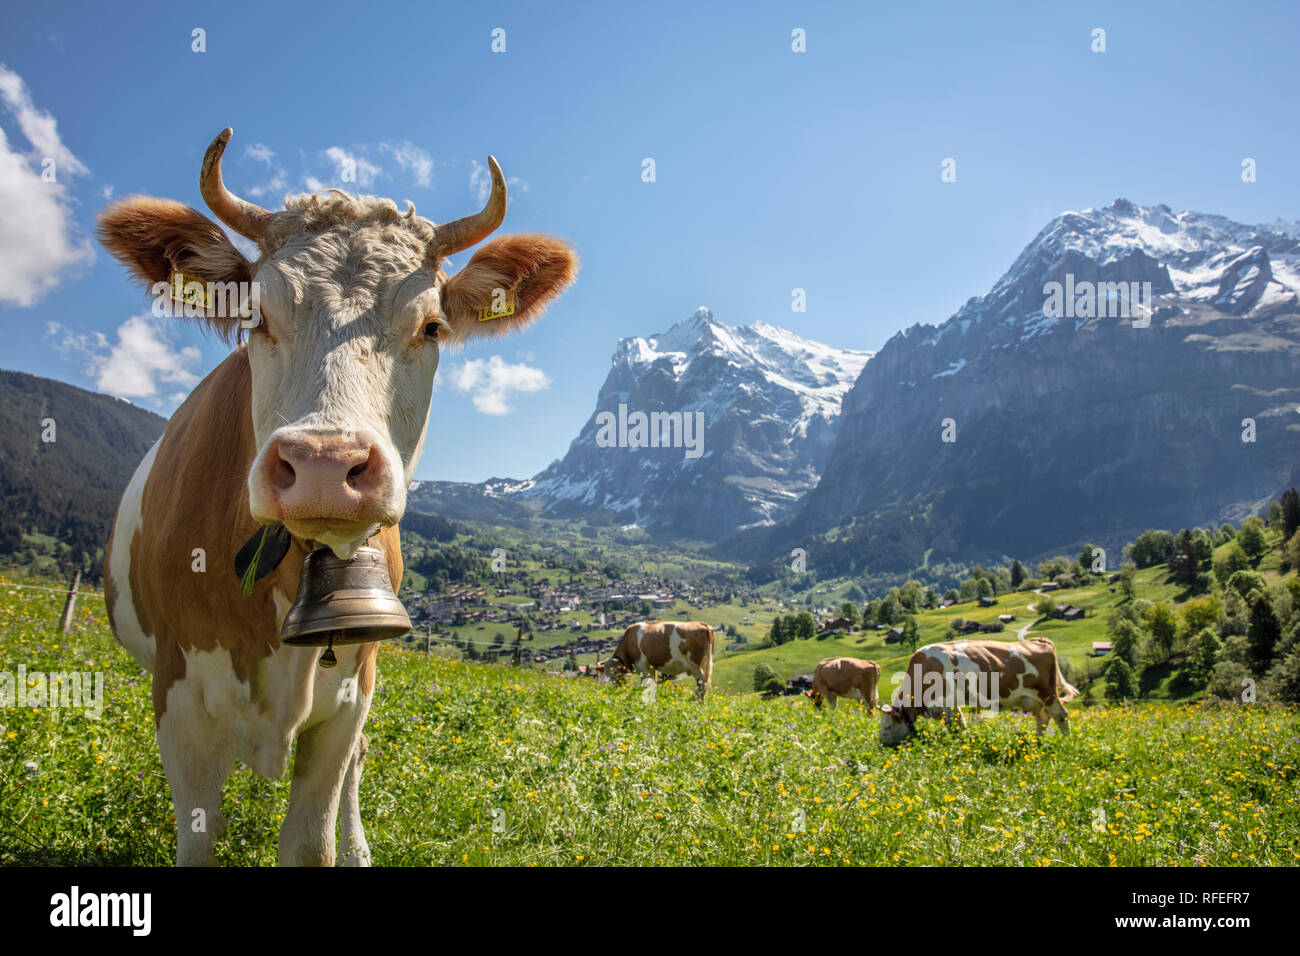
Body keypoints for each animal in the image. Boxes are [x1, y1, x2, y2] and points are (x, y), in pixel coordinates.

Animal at [98, 128, 577, 865]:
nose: (324, 465)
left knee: (356, 765)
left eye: (432, 327)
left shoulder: (350, 692)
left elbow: (310, 842)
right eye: (257, 316)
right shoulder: (177, 700)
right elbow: (198, 837)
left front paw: (339, 843)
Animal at [878, 637, 1078, 747]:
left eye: (887, 726)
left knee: (1060, 716)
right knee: (1043, 718)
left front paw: (962, 743)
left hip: (1048, 693)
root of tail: (1037, 640)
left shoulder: (948, 702)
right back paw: (1037, 742)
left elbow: (956, 726)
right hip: (1034, 699)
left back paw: (1066, 742)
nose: (882, 744)